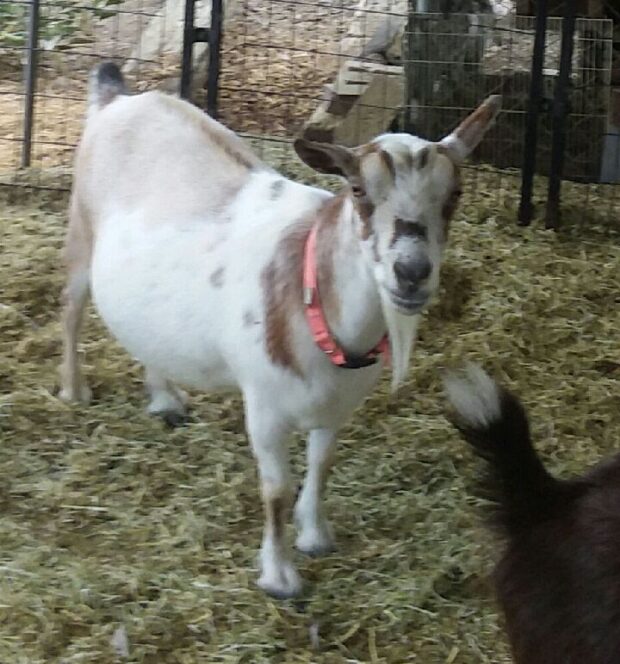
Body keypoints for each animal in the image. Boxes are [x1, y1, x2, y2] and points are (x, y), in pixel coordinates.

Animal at [59, 61, 500, 598]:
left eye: (454, 195)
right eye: (358, 190)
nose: (411, 272)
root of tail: (118, 98)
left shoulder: (337, 405)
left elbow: (322, 466)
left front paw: (316, 537)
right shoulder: (265, 407)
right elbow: (276, 490)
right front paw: (280, 577)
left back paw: (165, 399)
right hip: (80, 231)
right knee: (71, 308)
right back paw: (74, 389)